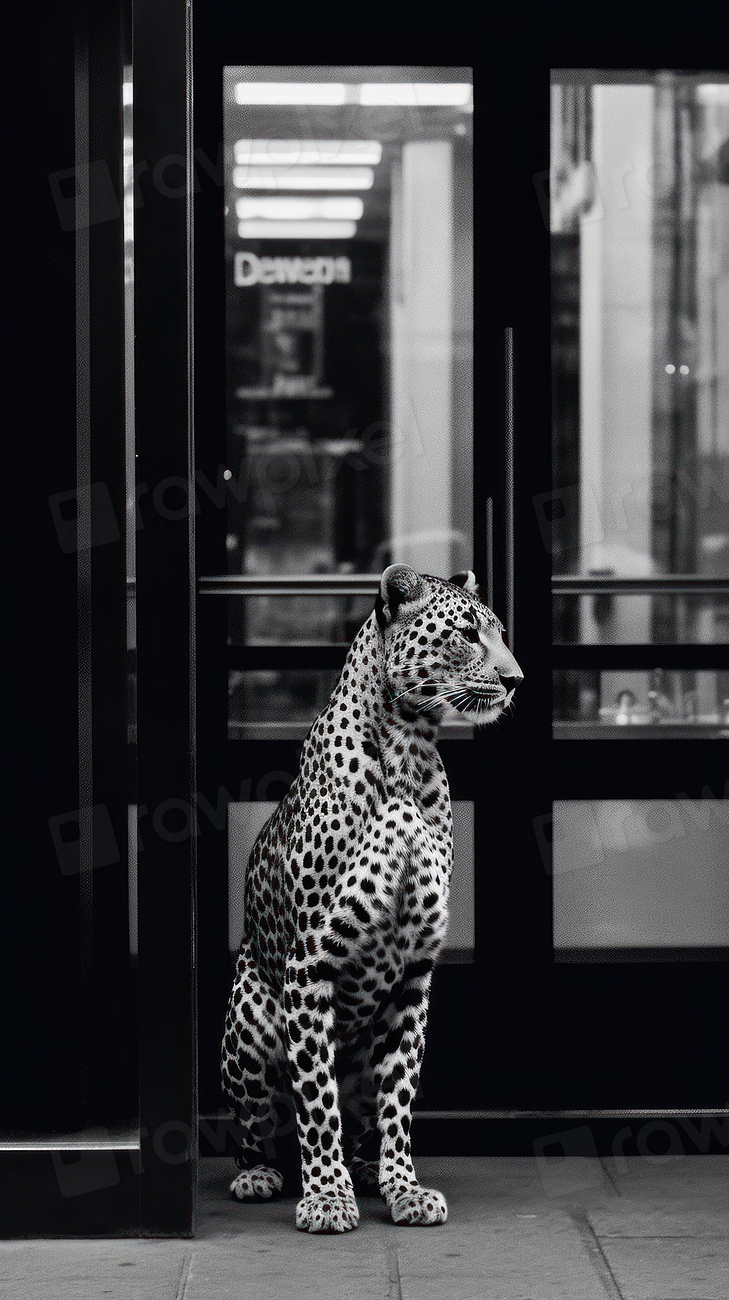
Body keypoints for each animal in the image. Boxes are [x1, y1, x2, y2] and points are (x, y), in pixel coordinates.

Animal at [221, 564, 523, 1233]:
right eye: (467, 633)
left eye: (499, 632)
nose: (516, 679)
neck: (411, 749)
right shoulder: (311, 965)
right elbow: (317, 1100)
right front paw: (327, 1198)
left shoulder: (414, 972)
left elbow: (397, 1101)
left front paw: (403, 1188)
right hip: (248, 1021)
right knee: (257, 1129)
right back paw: (264, 1174)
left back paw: (366, 1171)